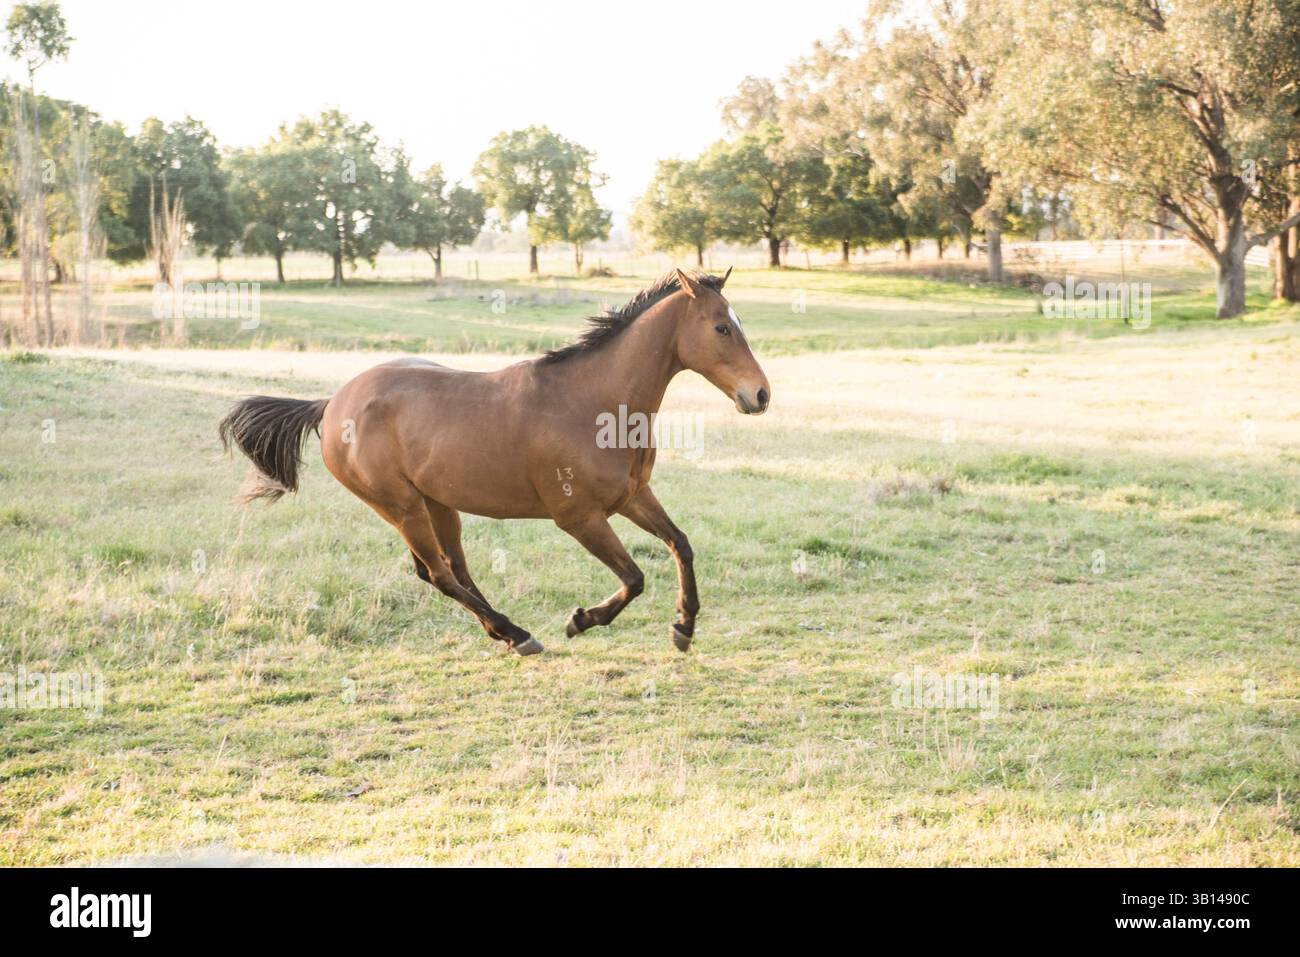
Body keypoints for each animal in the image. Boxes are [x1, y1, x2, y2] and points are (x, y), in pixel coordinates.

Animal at [218, 268, 770, 656]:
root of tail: (332, 404)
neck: (592, 401)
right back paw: (517, 632)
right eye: (722, 327)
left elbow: (681, 545)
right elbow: (634, 578)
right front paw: (580, 620)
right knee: (440, 574)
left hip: (438, 505)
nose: (760, 395)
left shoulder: (632, 497)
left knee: (448, 571)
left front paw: (684, 627)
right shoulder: (580, 518)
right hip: (400, 507)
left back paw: (504, 633)